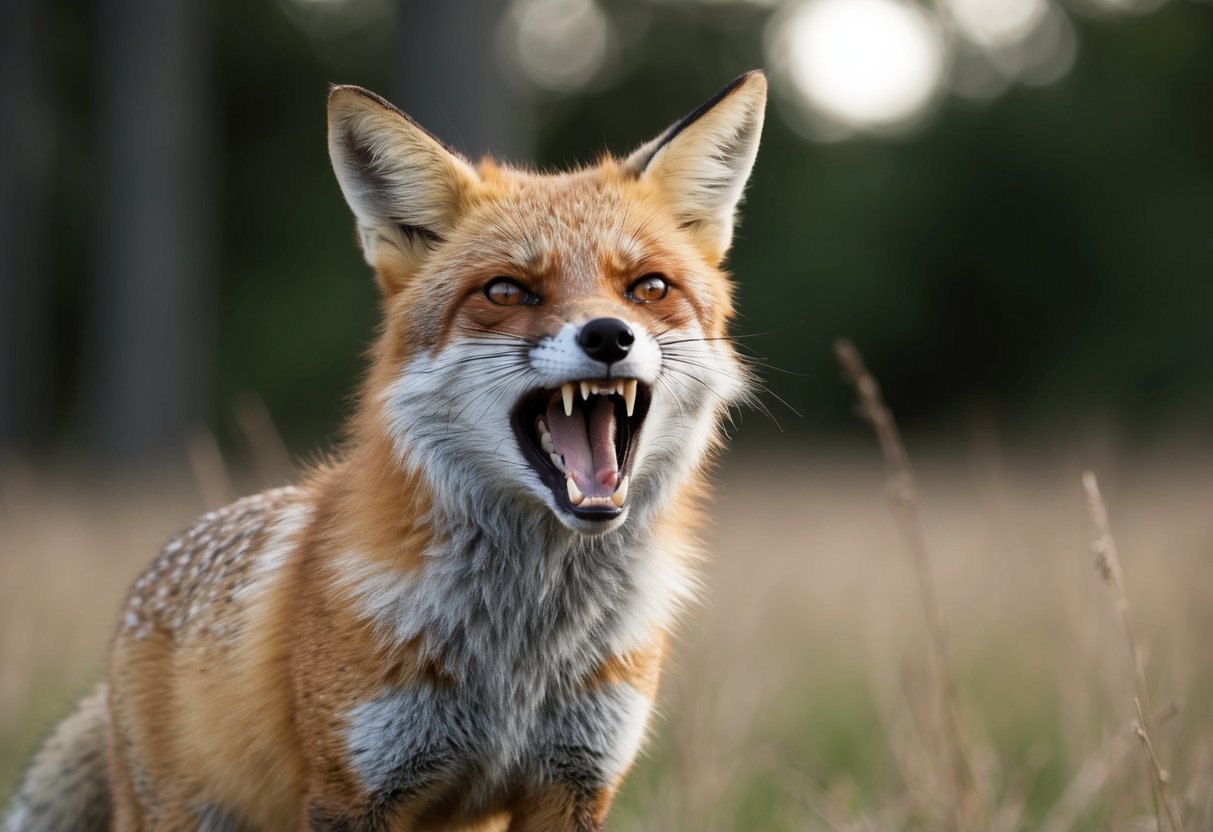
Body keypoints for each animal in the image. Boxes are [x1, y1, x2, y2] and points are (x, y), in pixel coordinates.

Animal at [5, 70, 767, 831]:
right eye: (506, 290)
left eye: (649, 288)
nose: (609, 335)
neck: (521, 653)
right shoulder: (356, 790)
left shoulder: (573, 785)